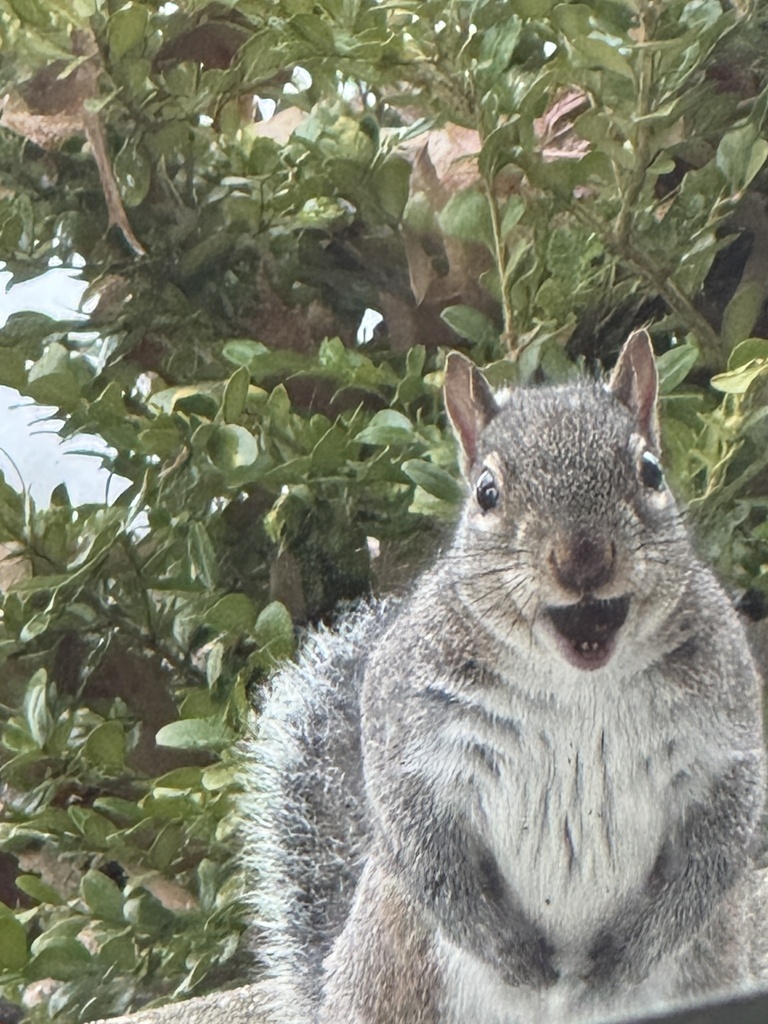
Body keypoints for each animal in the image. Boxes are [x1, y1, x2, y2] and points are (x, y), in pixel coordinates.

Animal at [239, 330, 768, 1024]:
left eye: (650, 471)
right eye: (486, 493)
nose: (583, 559)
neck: (579, 681)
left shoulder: (722, 732)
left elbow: (714, 853)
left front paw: (625, 958)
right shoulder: (411, 730)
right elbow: (424, 849)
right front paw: (514, 954)